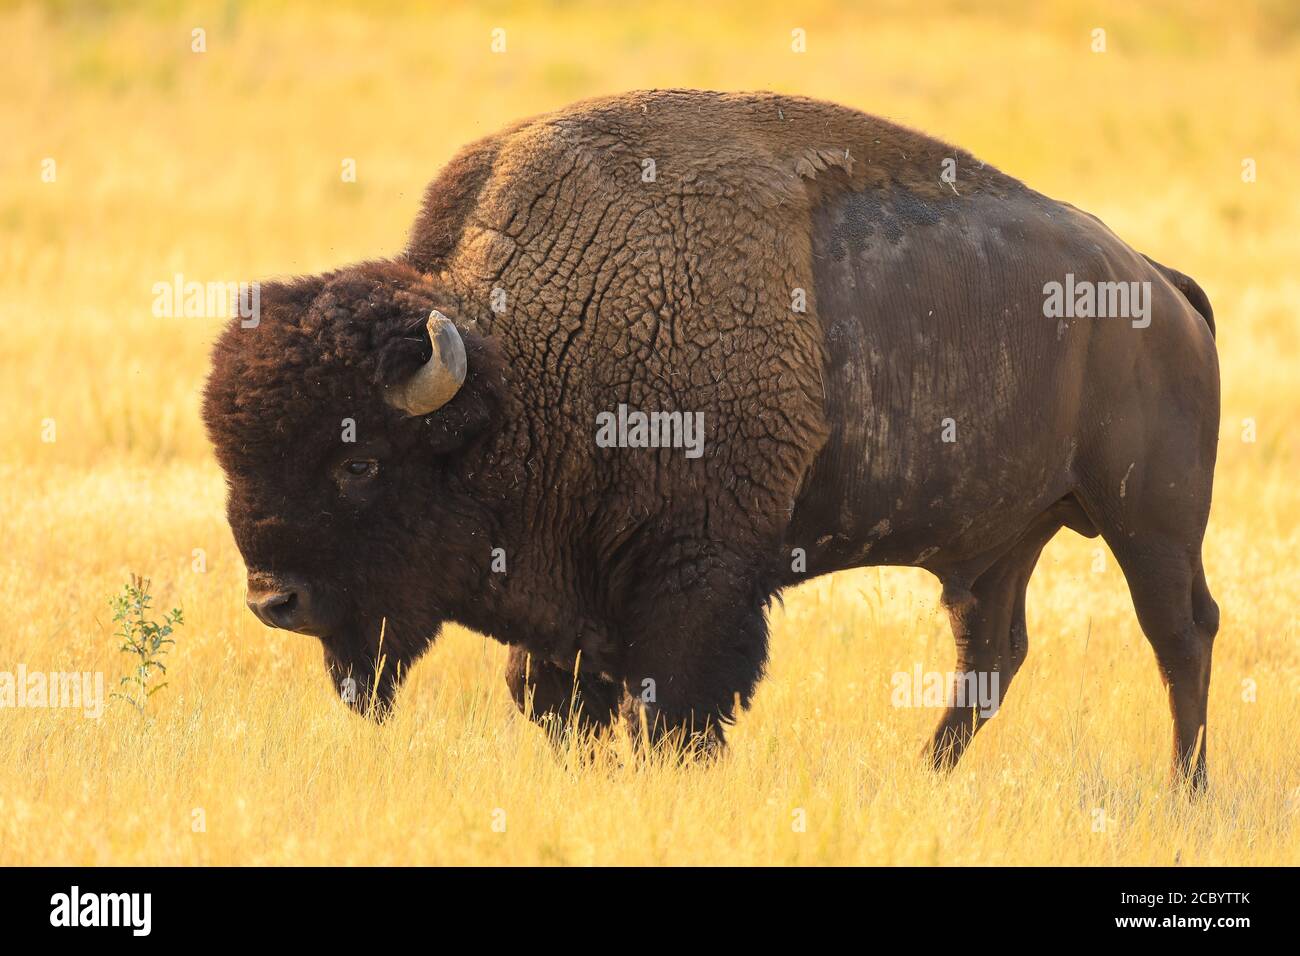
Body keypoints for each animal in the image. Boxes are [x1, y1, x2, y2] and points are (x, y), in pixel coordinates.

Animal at [204, 90, 1220, 786]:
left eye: (359, 460)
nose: (273, 599)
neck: (524, 366)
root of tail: (1159, 283)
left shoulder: (696, 576)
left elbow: (673, 709)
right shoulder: (575, 592)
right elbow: (554, 699)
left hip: (1149, 521)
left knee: (1180, 635)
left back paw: (1186, 792)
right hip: (1004, 541)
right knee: (990, 656)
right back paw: (923, 777)